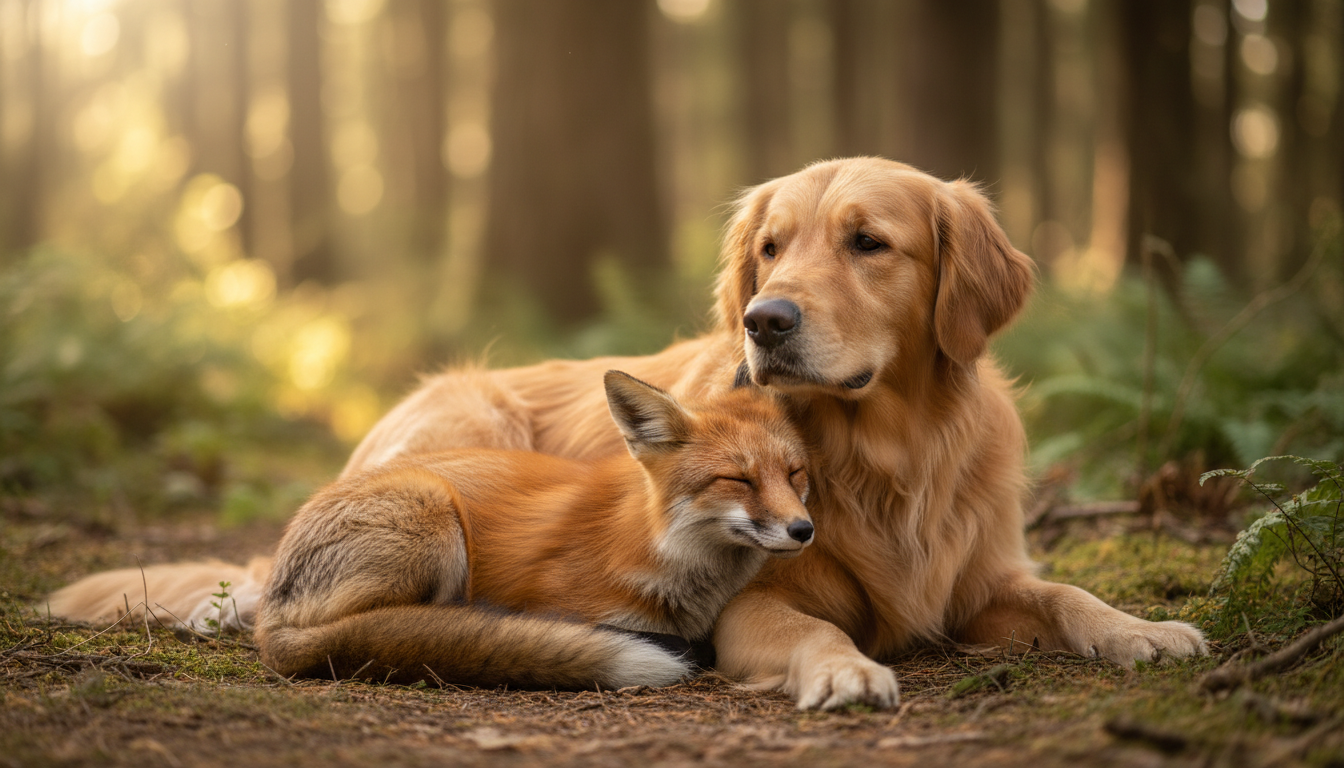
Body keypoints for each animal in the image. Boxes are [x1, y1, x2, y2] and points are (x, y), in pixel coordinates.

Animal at [249, 371, 813, 690]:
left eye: (795, 473)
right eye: (738, 479)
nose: (804, 530)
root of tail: (268, 618)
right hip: (434, 515)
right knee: (390, 628)